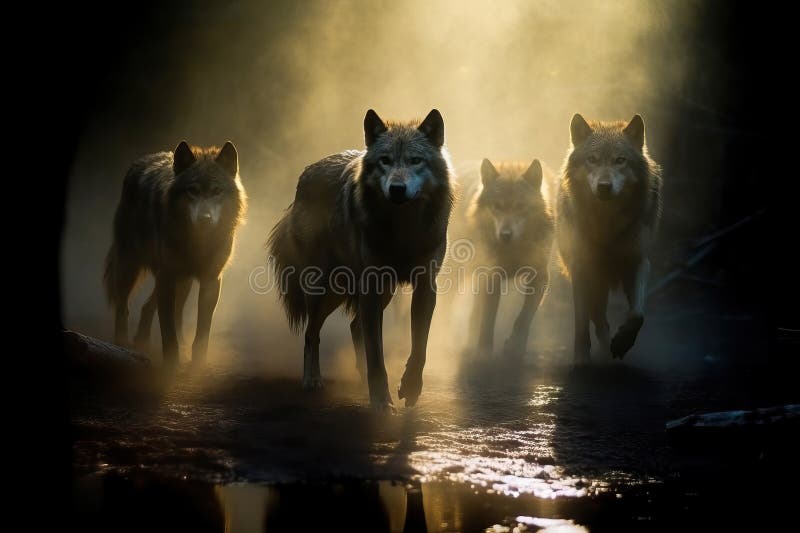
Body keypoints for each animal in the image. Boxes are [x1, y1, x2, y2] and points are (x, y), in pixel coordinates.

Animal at [104, 141, 246, 365]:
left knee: (153, 307)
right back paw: (122, 344)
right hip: (131, 267)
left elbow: (202, 330)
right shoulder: (168, 276)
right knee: (123, 306)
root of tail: (140, 161)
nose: (205, 219)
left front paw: (197, 364)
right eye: (192, 190)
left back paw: (143, 341)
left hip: (182, 281)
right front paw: (171, 363)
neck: (198, 242)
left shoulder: (210, 280)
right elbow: (168, 329)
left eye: (217, 191)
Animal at [268, 109, 453, 410]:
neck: (402, 228)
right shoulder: (371, 286)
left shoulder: (425, 287)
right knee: (311, 334)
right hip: (326, 290)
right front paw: (381, 401)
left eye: (416, 160)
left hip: (379, 292)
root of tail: (305, 175)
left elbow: (419, 348)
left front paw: (410, 388)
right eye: (385, 160)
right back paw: (312, 380)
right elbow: (377, 355)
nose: (397, 188)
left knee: (354, 327)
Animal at [465, 159, 554, 357]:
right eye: (497, 206)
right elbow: (488, 319)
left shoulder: (540, 276)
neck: (513, 250)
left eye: (521, 206)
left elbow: (524, 317)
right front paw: (484, 352)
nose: (505, 234)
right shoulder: (491, 276)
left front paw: (515, 346)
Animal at [556, 114, 662, 362]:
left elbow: (637, 314)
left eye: (620, 160)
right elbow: (581, 324)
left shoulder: (638, 262)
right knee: (599, 321)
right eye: (592, 160)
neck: (607, 225)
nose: (604, 186)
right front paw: (581, 359)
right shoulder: (581, 269)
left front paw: (623, 342)